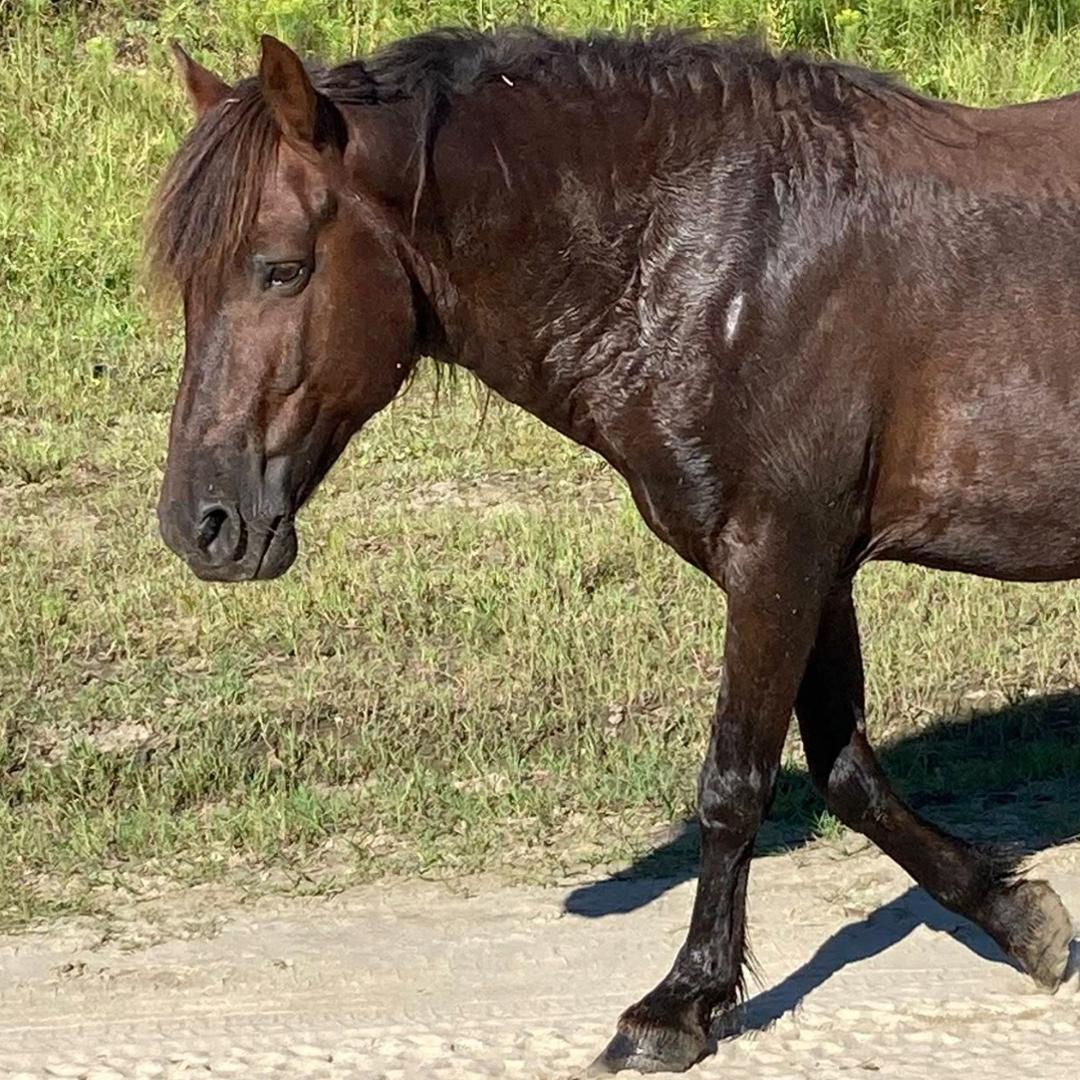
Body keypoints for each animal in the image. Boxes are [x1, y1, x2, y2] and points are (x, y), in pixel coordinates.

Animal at [150, 27, 1080, 1074]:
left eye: (280, 269)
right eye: (189, 283)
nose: (200, 525)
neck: (732, 260)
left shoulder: (779, 559)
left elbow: (734, 786)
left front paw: (678, 1005)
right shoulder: (817, 571)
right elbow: (846, 771)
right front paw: (1020, 920)